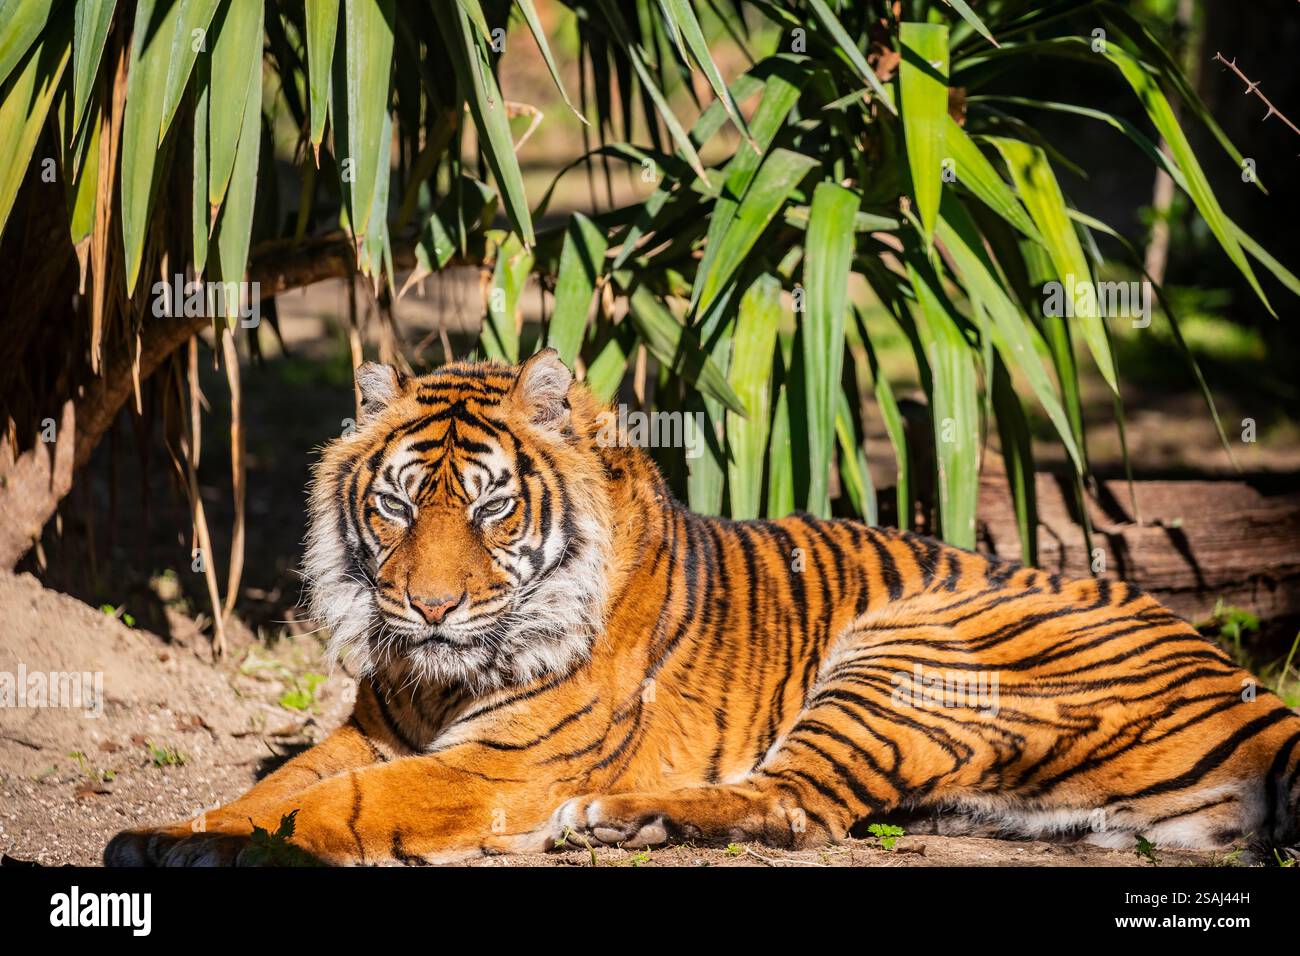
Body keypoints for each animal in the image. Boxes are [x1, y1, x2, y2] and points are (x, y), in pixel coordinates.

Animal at [105, 348, 1300, 866]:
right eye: (396, 506)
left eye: (491, 508)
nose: (429, 609)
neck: (438, 678)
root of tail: (1253, 689)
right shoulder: (368, 730)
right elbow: (282, 782)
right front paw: (185, 828)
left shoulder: (494, 767)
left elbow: (328, 805)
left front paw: (171, 842)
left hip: (899, 651)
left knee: (799, 807)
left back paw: (607, 820)